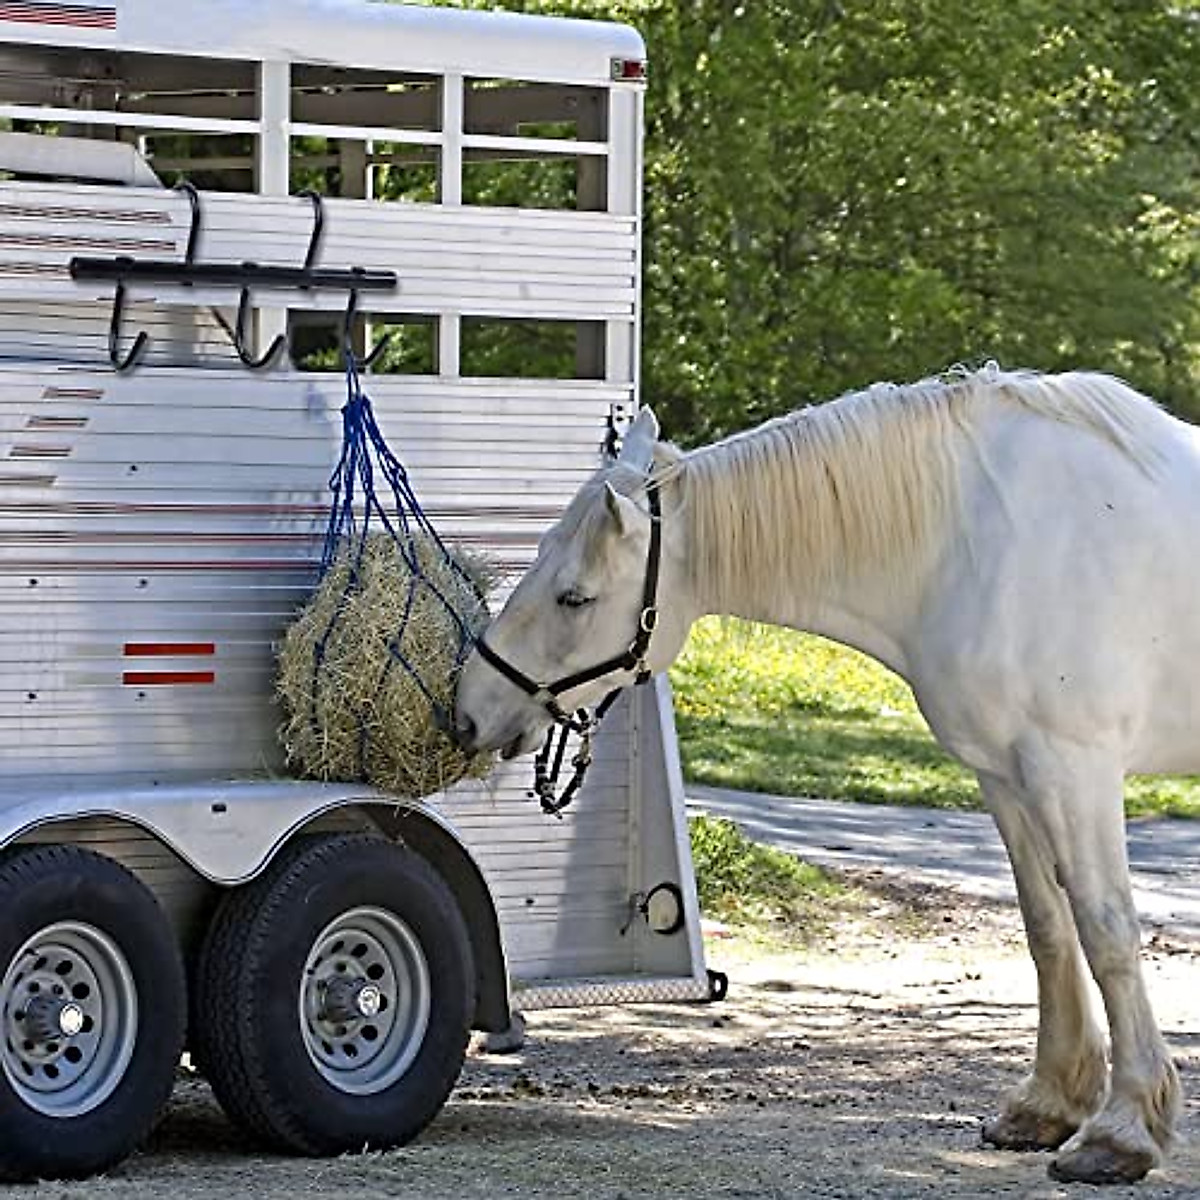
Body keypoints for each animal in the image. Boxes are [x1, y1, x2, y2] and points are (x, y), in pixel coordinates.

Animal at [453, 365, 1192, 1186]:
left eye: (573, 596)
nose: (469, 713)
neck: (980, 540)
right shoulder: (1006, 775)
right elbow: (1048, 929)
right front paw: (1046, 1107)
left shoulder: (1074, 768)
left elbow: (1107, 933)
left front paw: (1120, 1134)